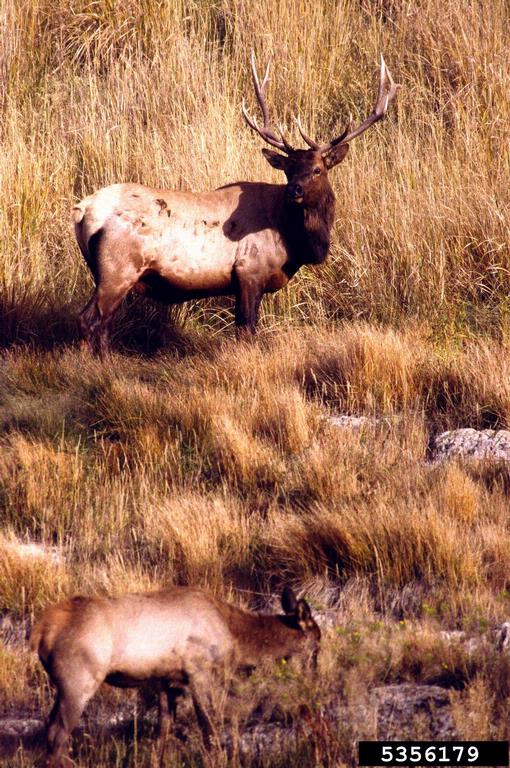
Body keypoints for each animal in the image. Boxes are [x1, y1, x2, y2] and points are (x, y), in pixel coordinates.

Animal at [31, 585, 320, 767]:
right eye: (317, 640)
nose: (314, 676)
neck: (235, 638)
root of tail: (40, 632)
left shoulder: (166, 681)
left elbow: (163, 730)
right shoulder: (198, 671)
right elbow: (208, 726)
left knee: (50, 730)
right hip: (79, 681)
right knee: (57, 735)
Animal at [74, 55, 399, 355]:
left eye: (318, 169)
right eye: (288, 169)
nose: (294, 189)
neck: (293, 242)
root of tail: (83, 210)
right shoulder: (248, 270)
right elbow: (246, 328)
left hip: (106, 272)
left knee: (103, 321)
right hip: (119, 267)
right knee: (90, 319)